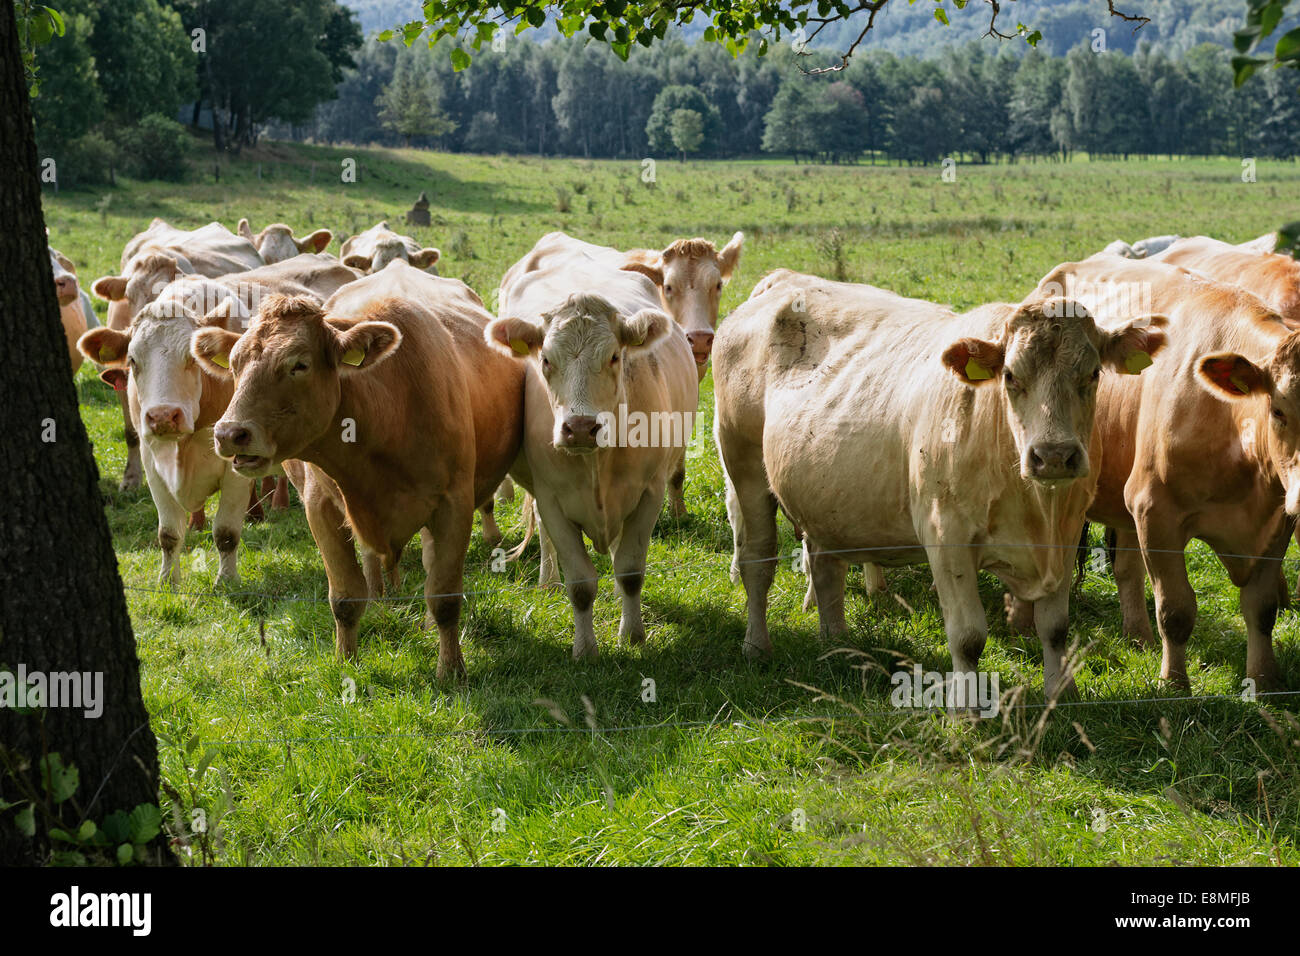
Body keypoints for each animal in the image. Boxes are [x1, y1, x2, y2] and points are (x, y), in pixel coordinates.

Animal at [191, 261, 525, 679]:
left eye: (299, 364)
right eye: (234, 364)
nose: (230, 433)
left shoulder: (455, 504)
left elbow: (444, 595)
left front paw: (451, 670)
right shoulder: (320, 507)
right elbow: (346, 597)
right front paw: (345, 662)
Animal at [487, 249, 697, 660]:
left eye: (615, 356)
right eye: (545, 359)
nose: (581, 427)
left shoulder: (649, 493)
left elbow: (630, 570)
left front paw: (632, 634)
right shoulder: (552, 501)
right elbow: (581, 584)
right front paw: (585, 648)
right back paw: (548, 581)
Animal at [713, 270, 1163, 701]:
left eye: (1093, 373)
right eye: (1011, 376)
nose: (1053, 455)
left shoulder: (1066, 536)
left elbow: (1054, 627)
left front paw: (1062, 694)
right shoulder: (945, 535)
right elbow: (967, 637)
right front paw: (966, 711)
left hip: (824, 500)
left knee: (825, 569)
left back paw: (836, 642)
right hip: (745, 469)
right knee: (757, 560)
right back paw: (757, 646)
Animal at [1033, 255, 1298, 690]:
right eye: (1278, 410)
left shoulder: (1277, 520)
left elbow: (1262, 608)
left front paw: (1264, 682)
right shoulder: (1156, 511)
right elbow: (1175, 610)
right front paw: (1173, 682)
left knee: (1125, 569)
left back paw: (1137, 635)